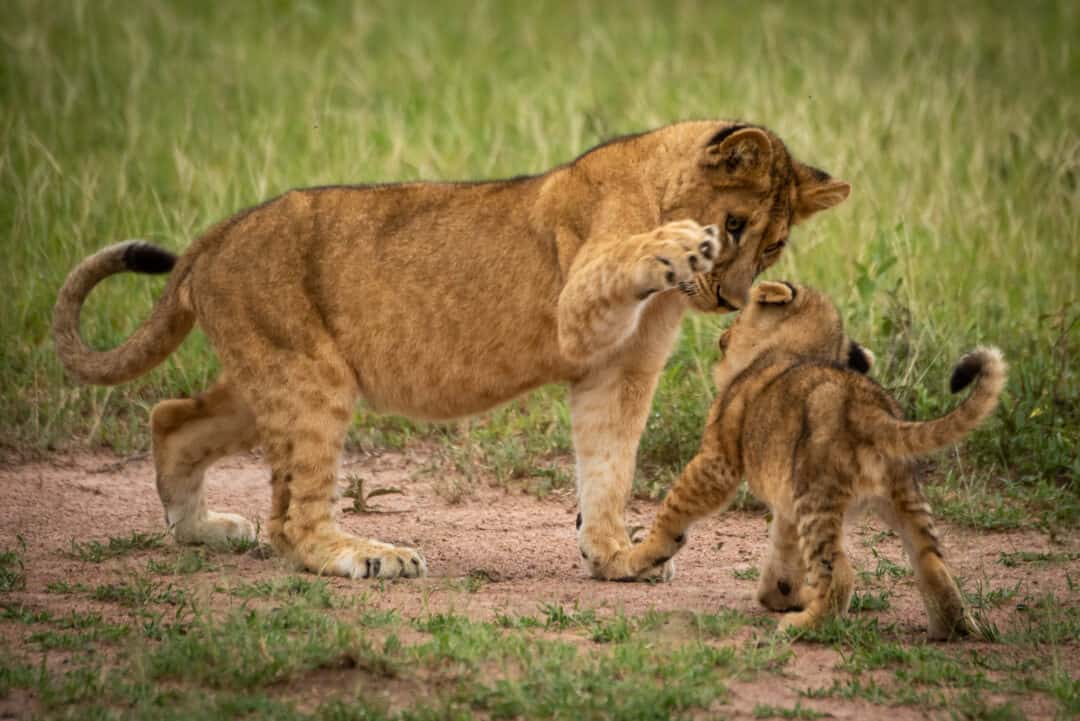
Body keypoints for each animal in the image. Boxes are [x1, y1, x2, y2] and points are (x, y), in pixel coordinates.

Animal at [53, 121, 850, 581]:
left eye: (774, 243)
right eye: (736, 223)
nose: (732, 299)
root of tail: (213, 236)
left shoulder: (617, 370)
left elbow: (608, 467)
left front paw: (616, 555)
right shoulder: (576, 313)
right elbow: (626, 261)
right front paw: (676, 242)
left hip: (273, 379)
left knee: (171, 417)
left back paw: (202, 529)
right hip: (309, 377)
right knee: (292, 521)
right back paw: (366, 555)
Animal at [608, 281, 1005, 638]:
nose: (724, 331)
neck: (795, 349)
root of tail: (868, 409)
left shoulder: (718, 459)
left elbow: (674, 507)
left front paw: (641, 556)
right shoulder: (787, 496)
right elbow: (784, 550)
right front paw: (779, 594)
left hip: (817, 495)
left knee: (841, 572)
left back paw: (803, 626)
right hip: (903, 495)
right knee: (932, 564)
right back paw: (953, 630)